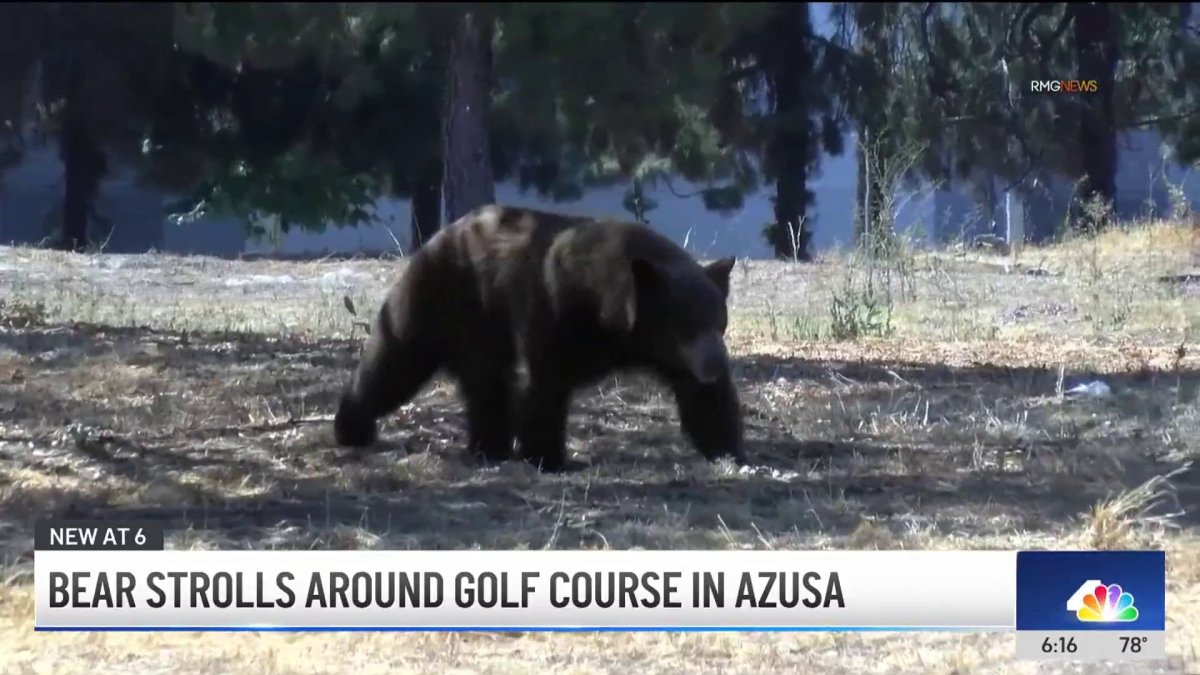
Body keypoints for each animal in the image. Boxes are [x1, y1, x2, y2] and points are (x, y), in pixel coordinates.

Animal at [333, 204, 744, 472]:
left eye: (718, 321)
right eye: (685, 324)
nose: (716, 362)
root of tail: (438, 236)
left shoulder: (677, 358)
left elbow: (704, 398)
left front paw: (729, 450)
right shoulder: (556, 308)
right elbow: (546, 382)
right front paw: (547, 457)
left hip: (479, 328)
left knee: (485, 384)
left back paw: (489, 447)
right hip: (443, 297)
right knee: (395, 359)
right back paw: (351, 426)